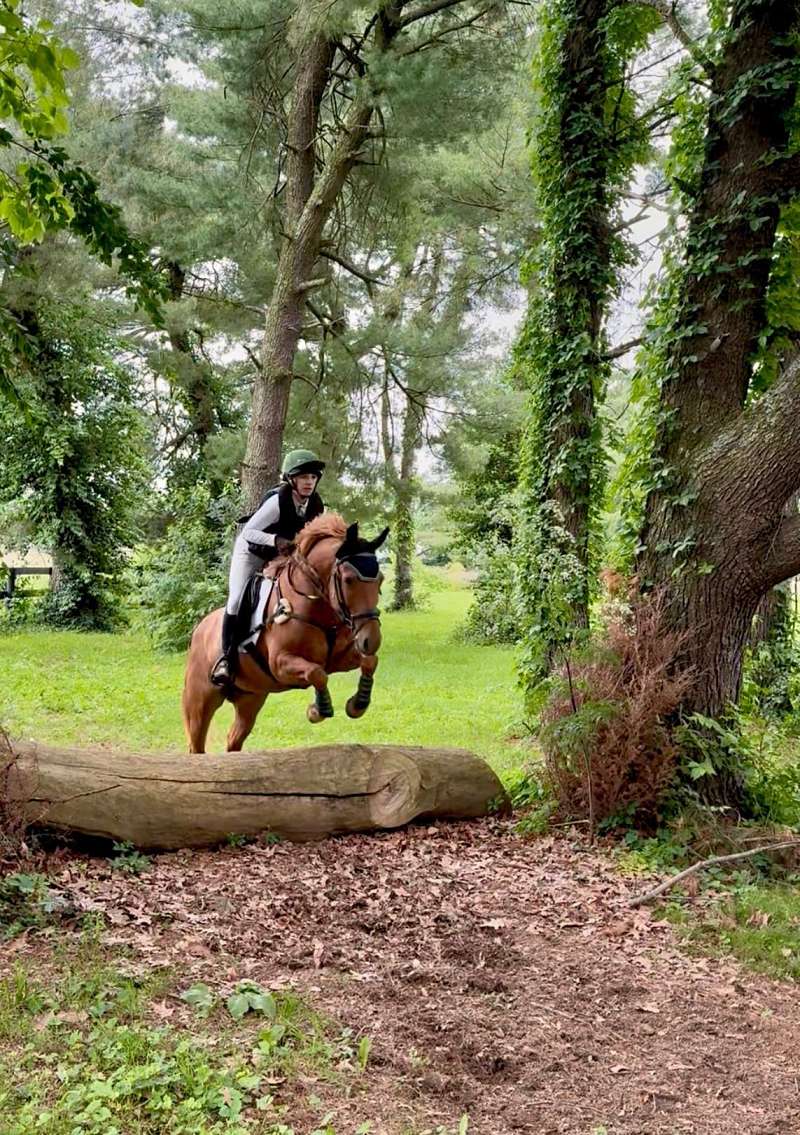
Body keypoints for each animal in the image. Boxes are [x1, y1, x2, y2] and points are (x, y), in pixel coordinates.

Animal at [182, 513, 388, 753]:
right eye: (348, 580)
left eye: (380, 579)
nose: (371, 639)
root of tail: (199, 629)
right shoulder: (280, 664)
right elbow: (317, 673)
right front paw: (317, 711)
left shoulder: (340, 659)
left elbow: (369, 661)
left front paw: (357, 705)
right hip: (200, 701)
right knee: (196, 744)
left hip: (250, 699)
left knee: (233, 740)